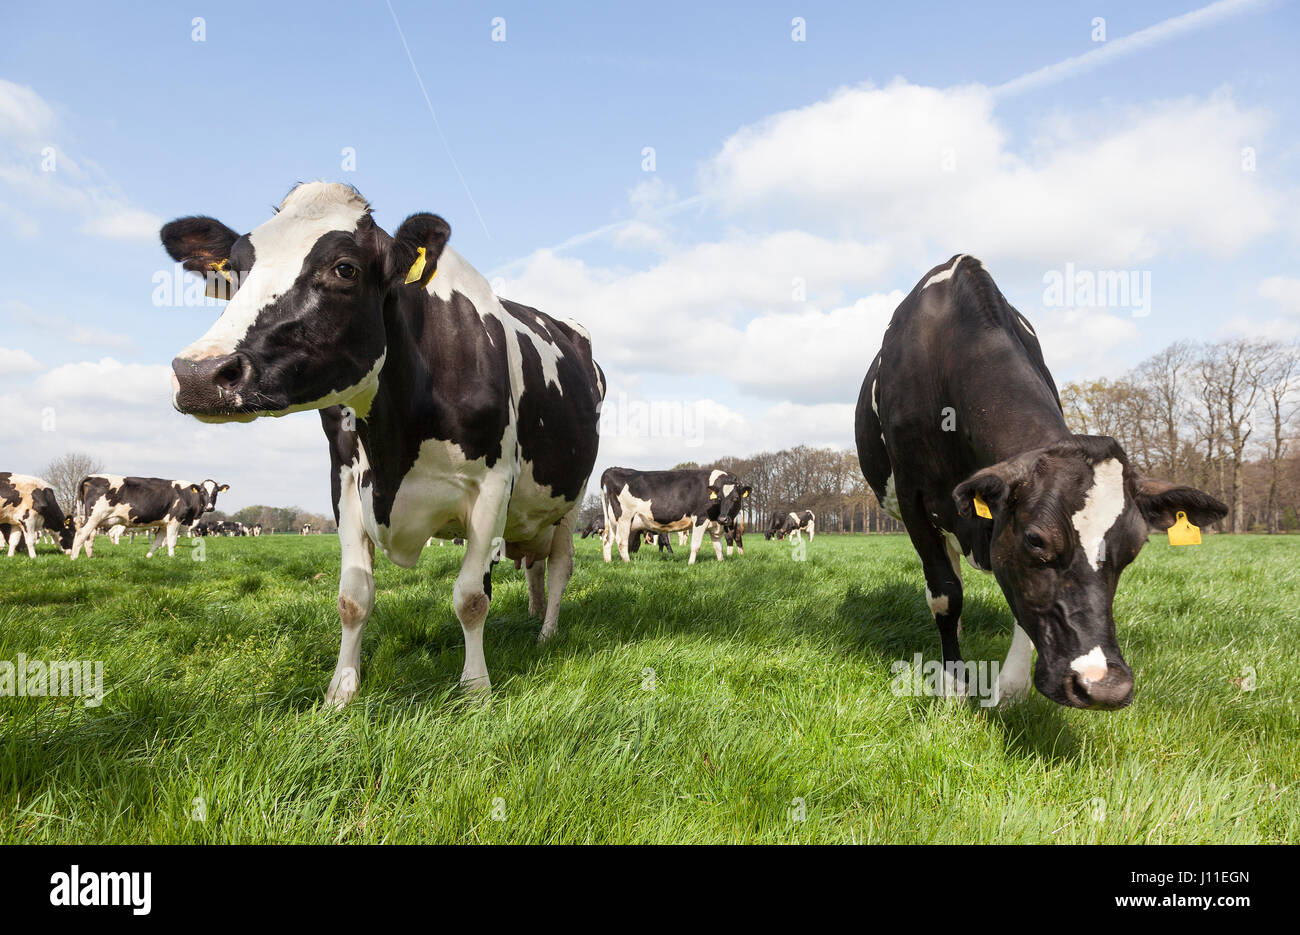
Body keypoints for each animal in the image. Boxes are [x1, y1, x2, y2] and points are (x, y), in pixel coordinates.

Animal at [71, 476, 228, 559]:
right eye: (202, 492)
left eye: (216, 492)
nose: (210, 507)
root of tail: (91, 477)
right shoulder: (174, 521)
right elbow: (172, 542)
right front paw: (172, 558)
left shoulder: (164, 524)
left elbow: (157, 543)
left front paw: (148, 556)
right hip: (94, 516)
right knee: (81, 534)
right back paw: (74, 558)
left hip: (95, 519)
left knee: (89, 537)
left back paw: (90, 557)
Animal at [163, 181, 605, 707]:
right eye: (234, 270)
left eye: (344, 268)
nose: (198, 373)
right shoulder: (348, 482)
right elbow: (353, 598)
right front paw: (341, 691)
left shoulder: (494, 483)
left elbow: (471, 597)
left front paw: (476, 688)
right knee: (534, 567)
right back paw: (535, 617)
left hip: (572, 499)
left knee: (558, 566)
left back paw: (547, 633)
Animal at [600, 467, 750, 564]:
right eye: (719, 498)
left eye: (736, 498)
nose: (723, 518)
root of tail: (613, 469)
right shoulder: (700, 518)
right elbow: (696, 545)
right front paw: (690, 564)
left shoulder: (715, 524)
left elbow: (718, 546)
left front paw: (721, 562)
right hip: (624, 518)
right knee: (621, 541)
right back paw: (627, 562)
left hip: (613, 520)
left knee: (608, 540)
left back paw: (608, 562)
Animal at [854, 255, 1227, 710]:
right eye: (1036, 539)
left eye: (1135, 547)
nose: (1104, 687)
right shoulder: (914, 500)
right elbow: (944, 594)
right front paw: (954, 687)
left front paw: (1007, 691)